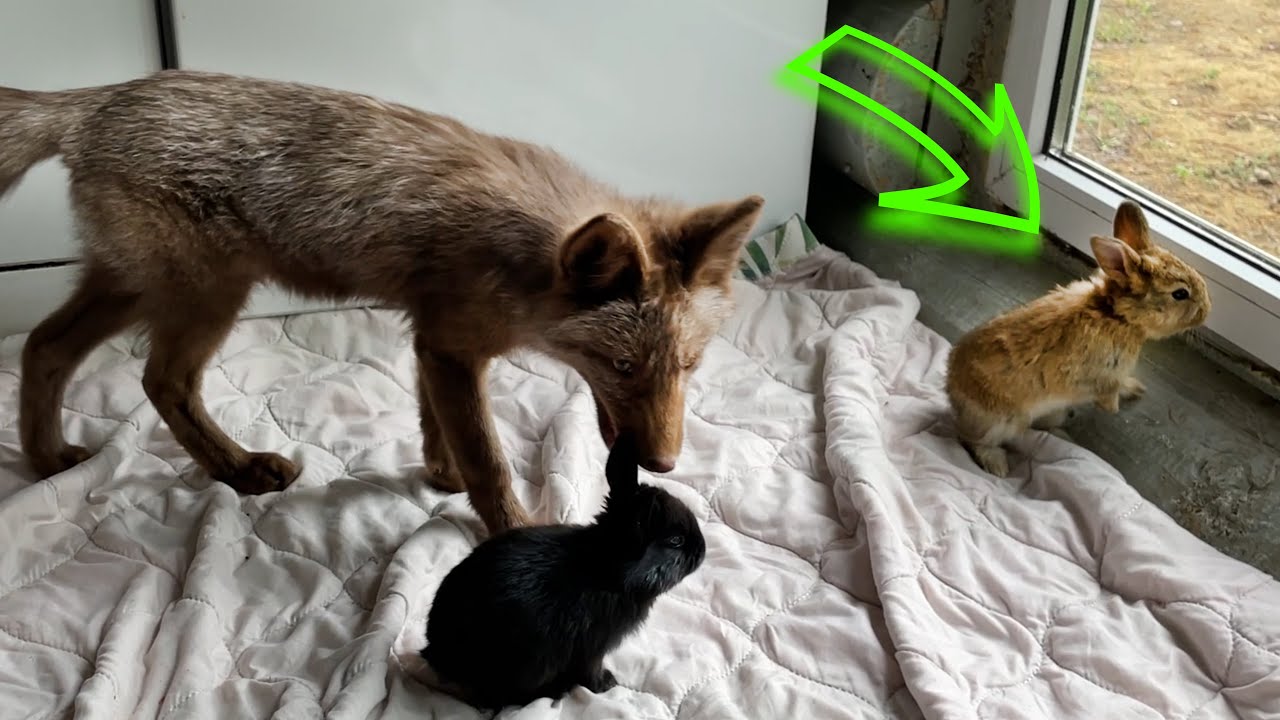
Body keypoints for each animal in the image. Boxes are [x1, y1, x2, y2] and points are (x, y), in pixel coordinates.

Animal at [0, 69, 765, 535]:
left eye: (689, 367)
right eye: (624, 367)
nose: (664, 466)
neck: (518, 255)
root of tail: (100, 99)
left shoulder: (433, 342)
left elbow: (438, 429)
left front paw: (440, 475)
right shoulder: (450, 346)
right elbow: (489, 460)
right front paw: (514, 532)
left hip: (134, 286)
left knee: (43, 347)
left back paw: (48, 461)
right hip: (205, 296)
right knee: (162, 381)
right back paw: (237, 470)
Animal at [419, 430, 707, 710]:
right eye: (676, 541)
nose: (703, 551)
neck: (608, 568)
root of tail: (437, 650)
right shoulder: (594, 646)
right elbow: (590, 672)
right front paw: (607, 684)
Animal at [945, 198, 1211, 477]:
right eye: (1180, 294)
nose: (1207, 309)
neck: (1117, 315)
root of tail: (951, 392)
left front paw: (1135, 389)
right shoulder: (1102, 376)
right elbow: (1107, 393)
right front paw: (1113, 407)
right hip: (998, 423)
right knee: (974, 440)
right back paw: (998, 466)